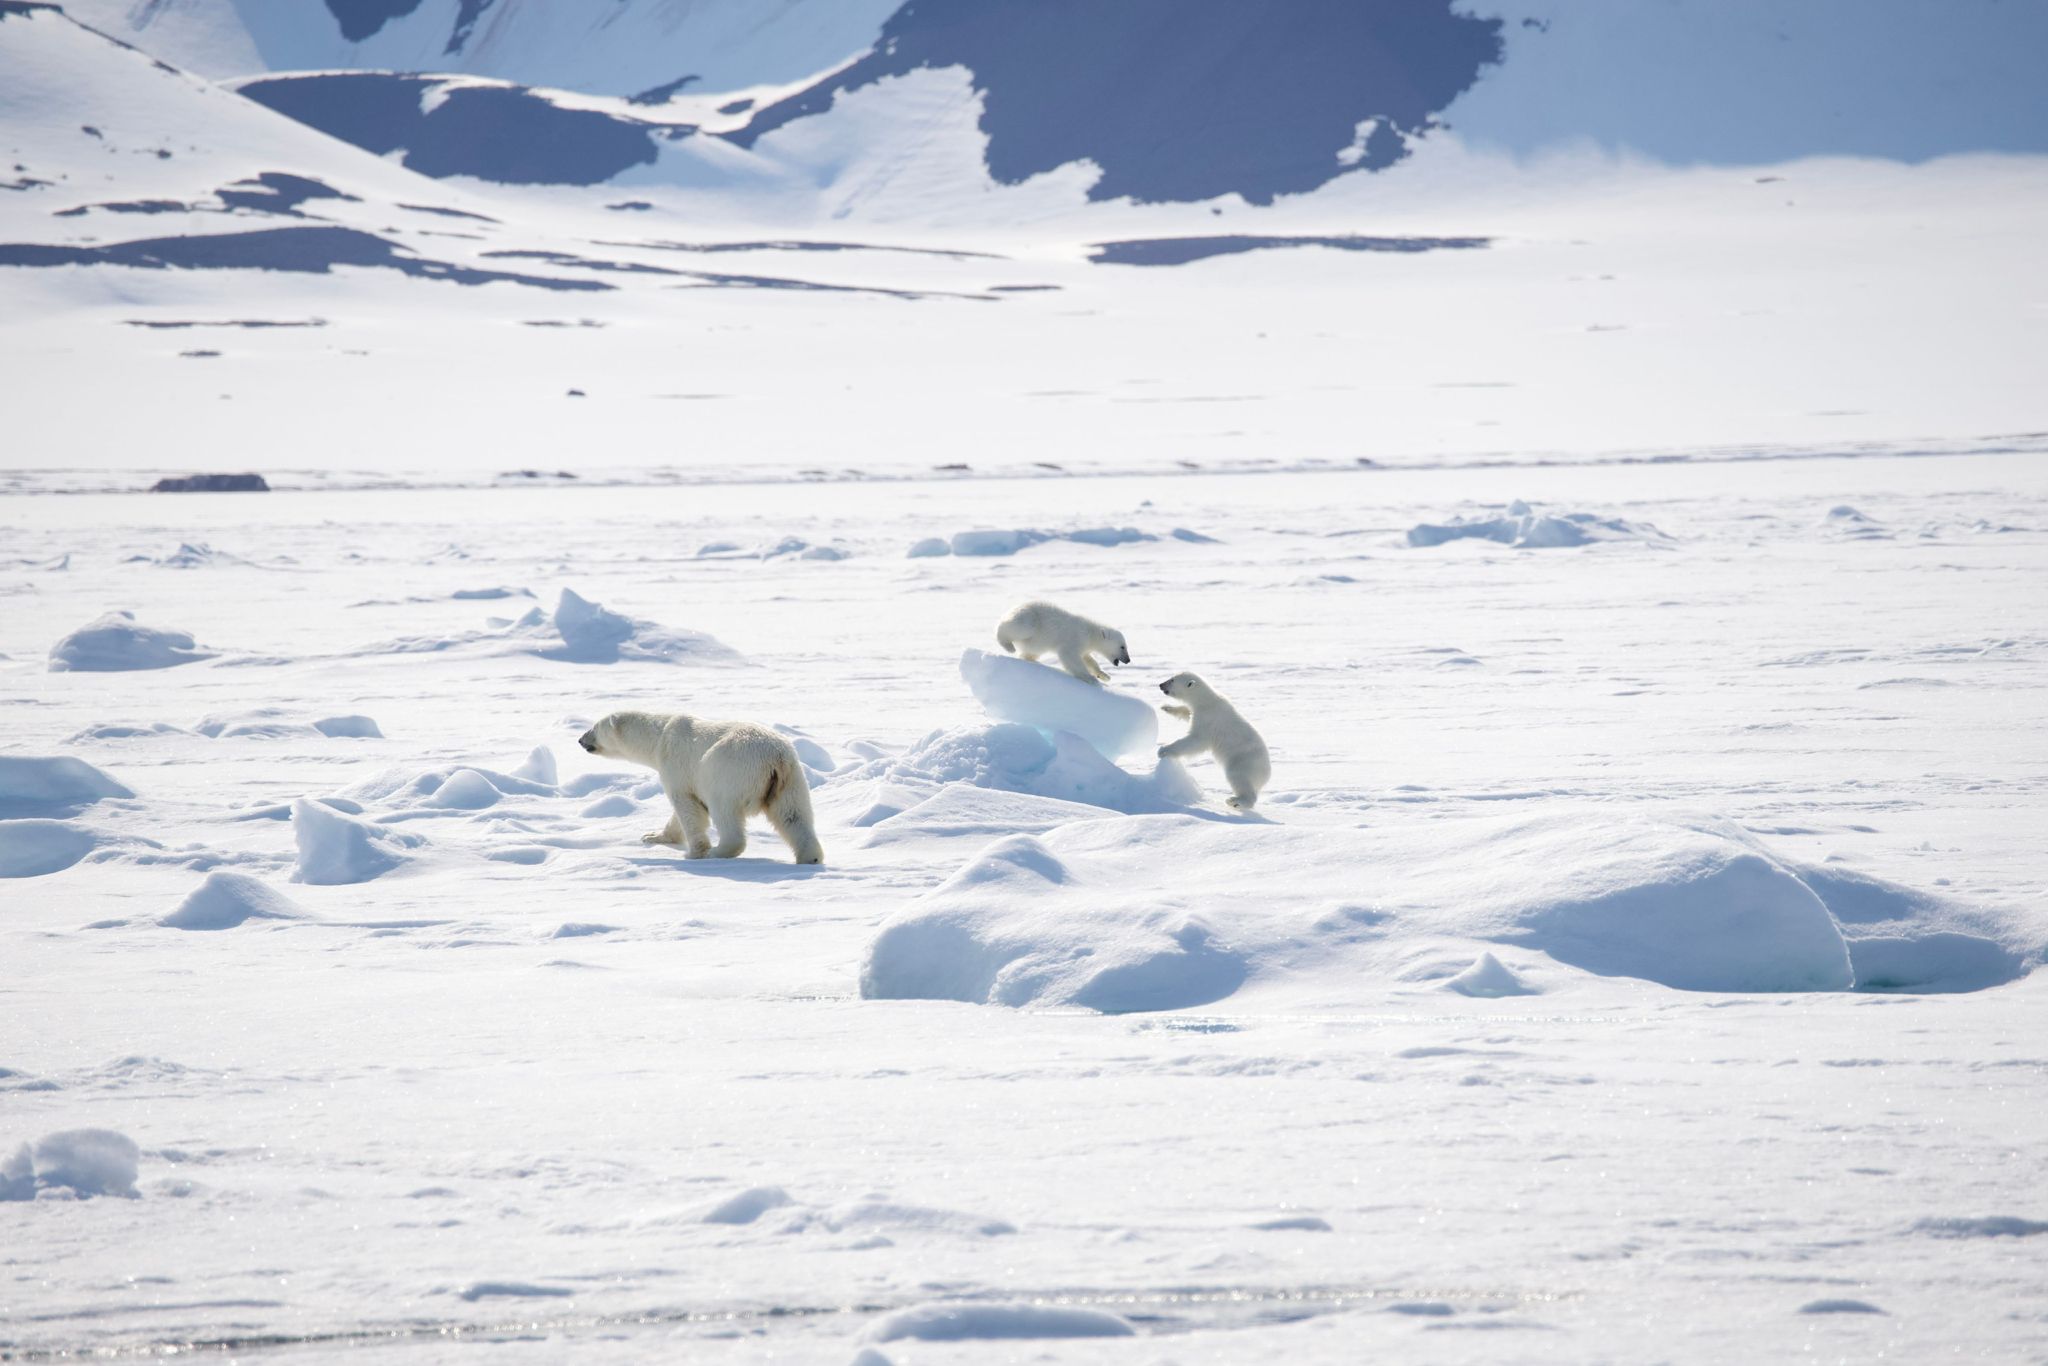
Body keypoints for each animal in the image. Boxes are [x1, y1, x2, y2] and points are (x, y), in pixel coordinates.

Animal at [577, 710, 823, 864]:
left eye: (594, 727)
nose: (580, 739)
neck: (659, 737)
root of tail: (775, 759)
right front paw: (653, 836)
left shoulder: (677, 766)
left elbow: (687, 807)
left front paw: (695, 853)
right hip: (791, 779)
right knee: (793, 816)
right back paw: (810, 857)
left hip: (728, 771)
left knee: (724, 811)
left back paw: (717, 852)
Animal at [996, 600, 1130, 685]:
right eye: (1122, 647)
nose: (1128, 660)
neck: (1091, 632)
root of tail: (1012, 609)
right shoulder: (1075, 637)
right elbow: (1070, 656)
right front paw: (1091, 679)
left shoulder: (1084, 646)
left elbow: (1087, 658)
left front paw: (1104, 675)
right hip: (1029, 619)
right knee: (1020, 628)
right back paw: (1008, 646)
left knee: (1032, 651)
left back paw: (1032, 660)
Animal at [1157, 672, 1271, 811]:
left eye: (1172, 680)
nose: (1161, 684)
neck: (1207, 701)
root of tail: (1266, 774)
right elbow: (1188, 713)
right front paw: (1166, 707)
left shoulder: (1208, 719)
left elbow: (1196, 741)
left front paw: (1163, 750)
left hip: (1244, 761)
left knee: (1238, 778)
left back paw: (1235, 801)